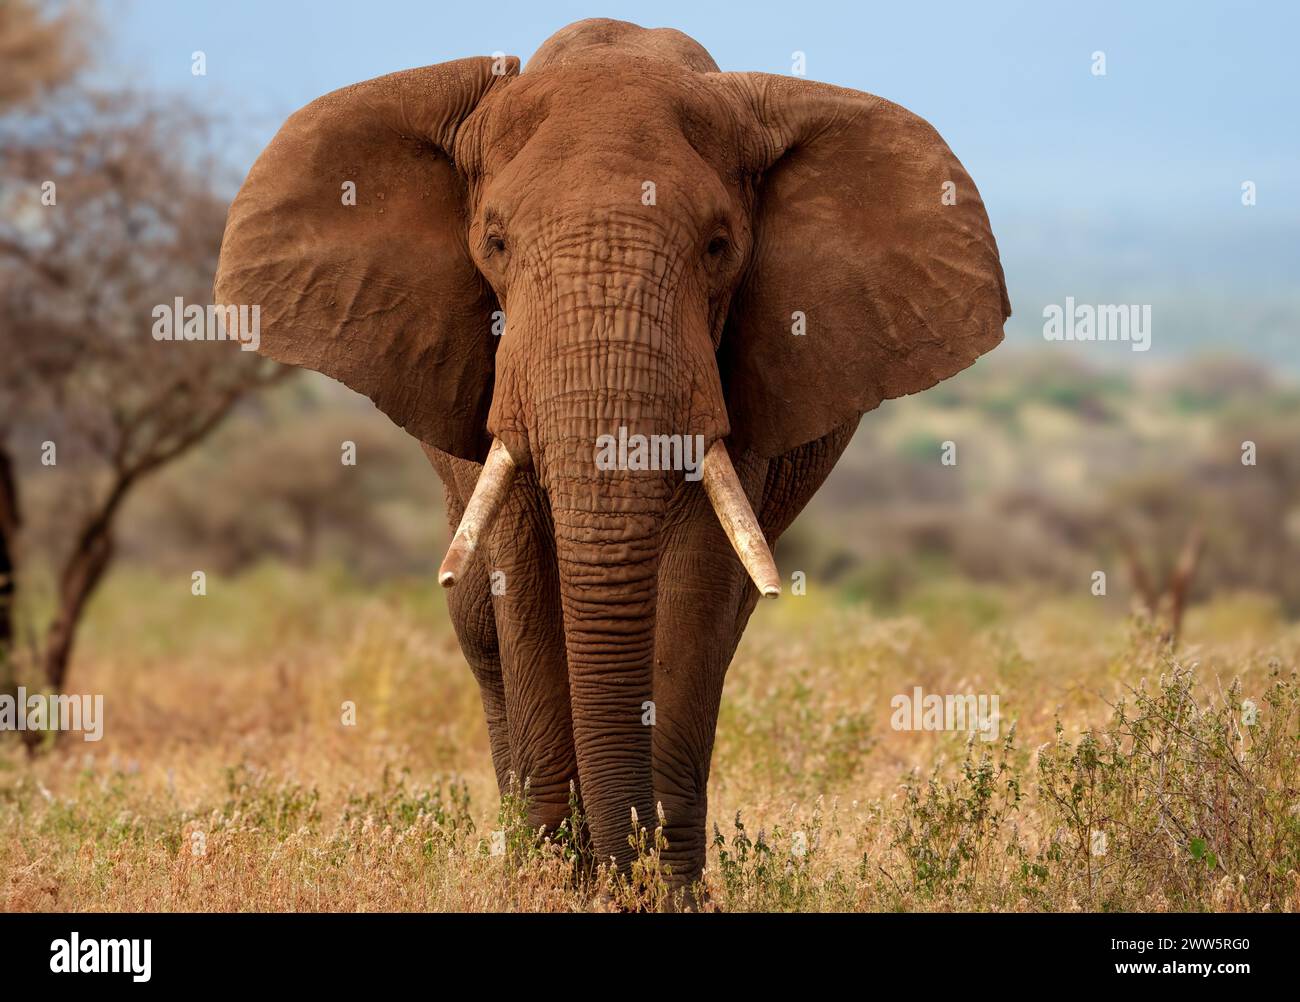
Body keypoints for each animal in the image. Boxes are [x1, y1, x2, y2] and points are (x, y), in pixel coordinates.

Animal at [214, 17, 1010, 897]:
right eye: (494, 241)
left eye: (719, 246)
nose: (621, 874)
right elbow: (524, 578)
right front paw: (556, 886)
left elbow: (694, 593)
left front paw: (666, 892)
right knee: (480, 630)